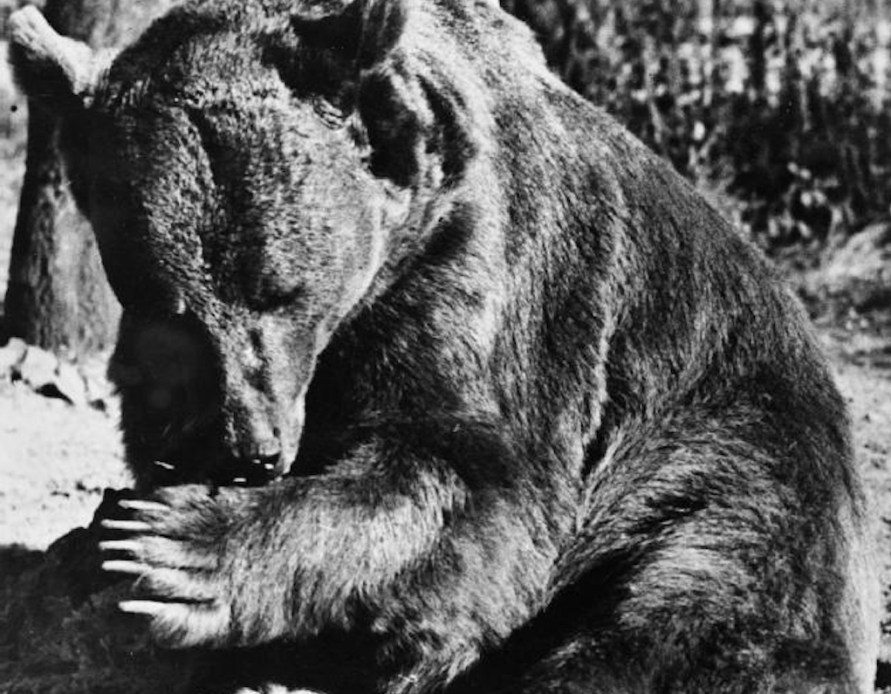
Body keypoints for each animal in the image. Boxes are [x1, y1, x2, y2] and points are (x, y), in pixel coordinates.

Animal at [9, 1, 879, 692]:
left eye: (281, 287)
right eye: (169, 306)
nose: (248, 450)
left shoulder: (488, 279)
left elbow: (466, 477)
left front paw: (172, 550)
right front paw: (107, 540)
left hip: (730, 467)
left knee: (676, 613)